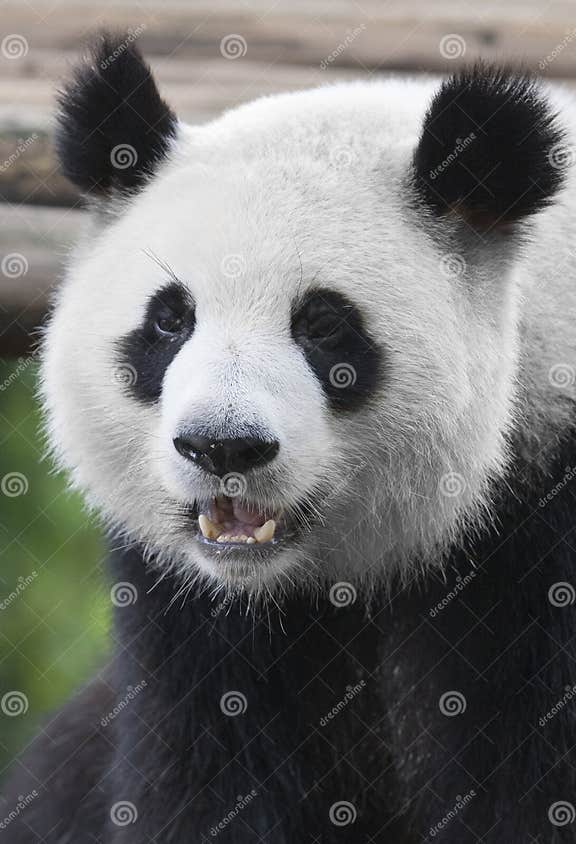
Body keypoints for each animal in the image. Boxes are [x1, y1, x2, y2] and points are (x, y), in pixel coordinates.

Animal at [3, 30, 576, 844]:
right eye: (170, 319)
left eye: (324, 324)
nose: (223, 447)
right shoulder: (197, 621)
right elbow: (213, 780)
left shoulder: (543, 541)